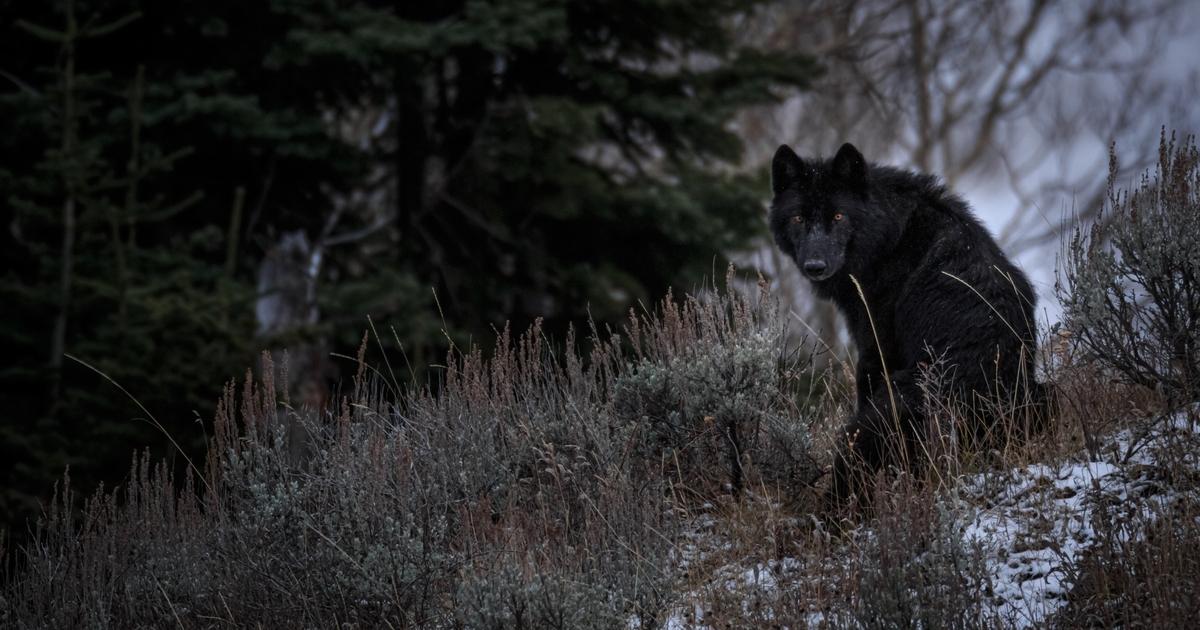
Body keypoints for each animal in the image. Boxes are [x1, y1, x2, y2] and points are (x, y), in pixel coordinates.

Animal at [769, 142, 1041, 504]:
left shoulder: (875, 351)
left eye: (838, 216)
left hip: (877, 417)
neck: (890, 238)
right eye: (798, 218)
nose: (815, 266)